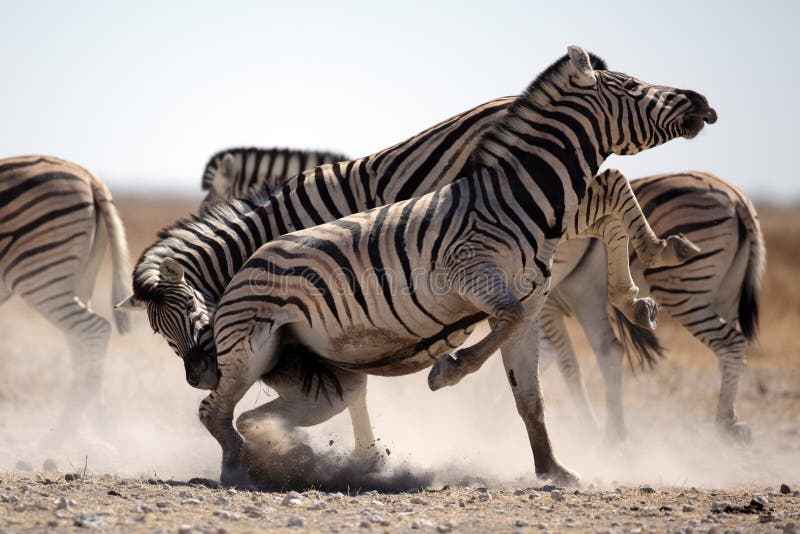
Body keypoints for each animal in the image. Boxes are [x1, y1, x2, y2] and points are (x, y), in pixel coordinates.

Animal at [0, 155, 130, 437]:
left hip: (41, 276)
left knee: (96, 329)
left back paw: (69, 432)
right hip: (78, 279)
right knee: (80, 343)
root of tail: (88, 175)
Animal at [538, 172, 763, 444]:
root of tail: (738, 199)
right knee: (732, 351)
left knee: (730, 343)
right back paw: (732, 421)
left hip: (684, 292)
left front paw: (586, 425)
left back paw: (724, 423)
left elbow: (563, 363)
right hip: (727, 294)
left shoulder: (549, 306)